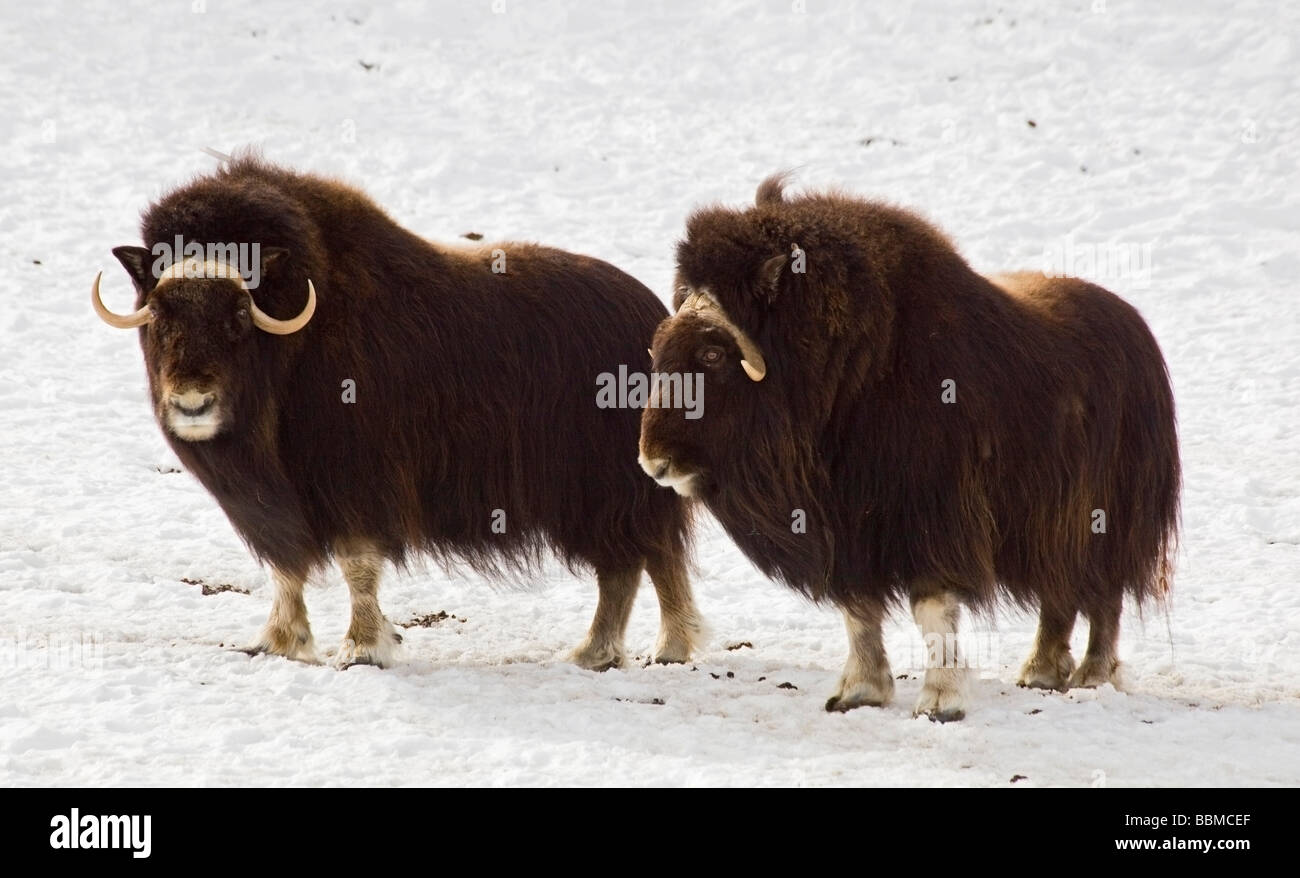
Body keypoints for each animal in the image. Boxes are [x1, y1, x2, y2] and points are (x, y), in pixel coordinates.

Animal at [93, 155, 702, 671]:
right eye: (161, 312)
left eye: (238, 313)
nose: (192, 404)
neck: (291, 350)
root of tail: (656, 321)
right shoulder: (273, 499)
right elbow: (285, 567)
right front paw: (279, 643)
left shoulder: (358, 478)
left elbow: (356, 562)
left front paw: (363, 649)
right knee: (636, 562)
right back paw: (611, 652)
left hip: (616, 488)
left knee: (645, 559)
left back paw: (646, 649)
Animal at [639, 174, 1180, 720]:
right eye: (659, 349)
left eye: (712, 353)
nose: (652, 462)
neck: (846, 380)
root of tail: (1136, 329)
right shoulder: (847, 528)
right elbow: (858, 610)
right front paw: (858, 692)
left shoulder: (931, 516)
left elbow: (932, 608)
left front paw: (940, 701)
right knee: (1061, 593)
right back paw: (1040, 672)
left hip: (1105, 520)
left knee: (1103, 595)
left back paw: (1092, 676)